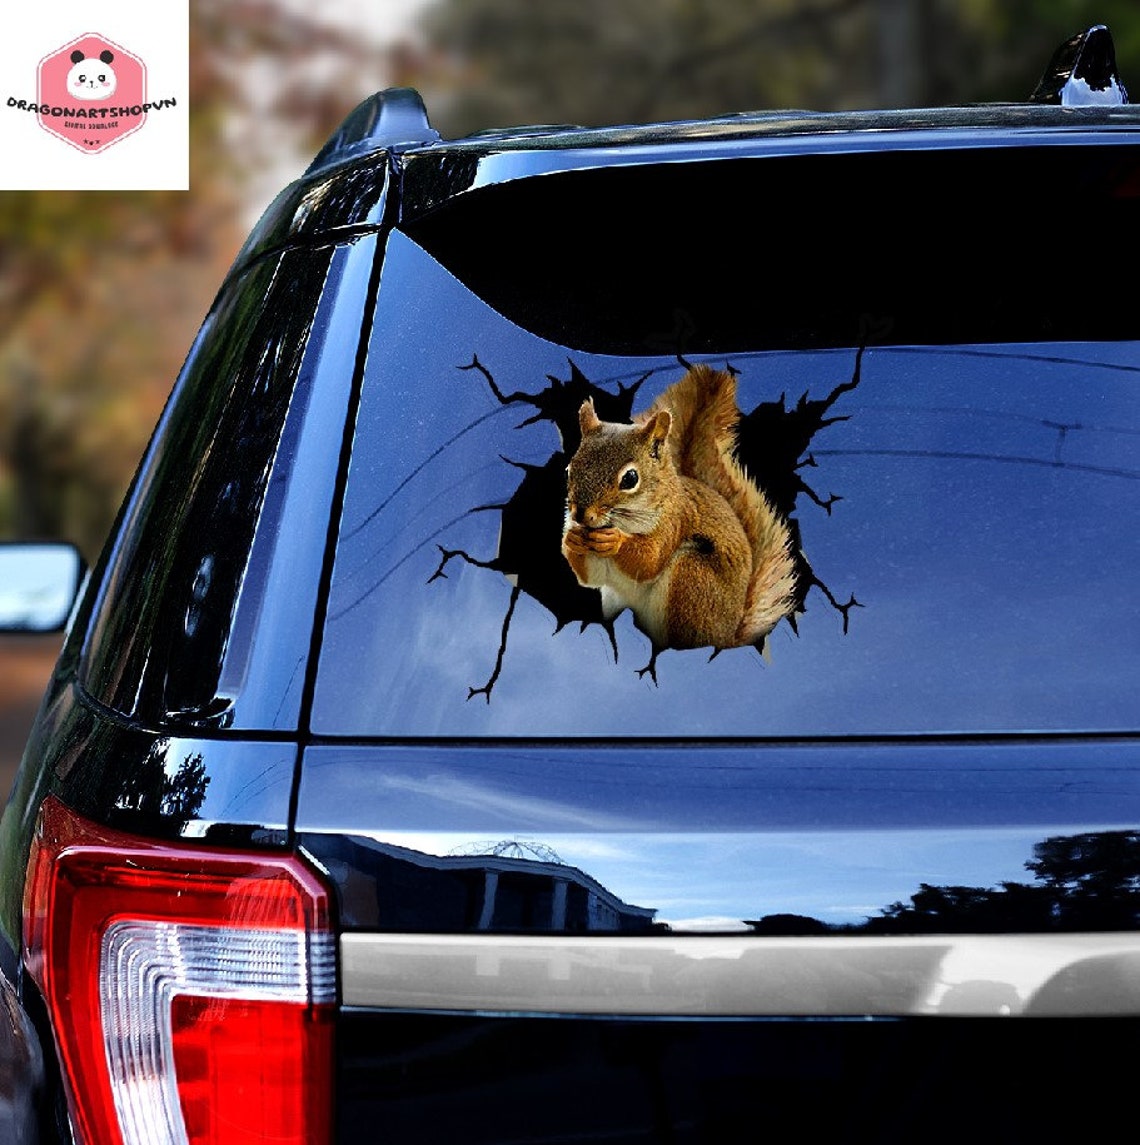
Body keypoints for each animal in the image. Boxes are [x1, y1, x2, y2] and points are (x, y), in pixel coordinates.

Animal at [561, 364, 797, 654]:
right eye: (569, 470)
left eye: (630, 479)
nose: (580, 514)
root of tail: (727, 638)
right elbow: (590, 577)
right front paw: (571, 539)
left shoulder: (674, 521)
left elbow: (649, 560)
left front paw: (615, 540)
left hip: (690, 579)